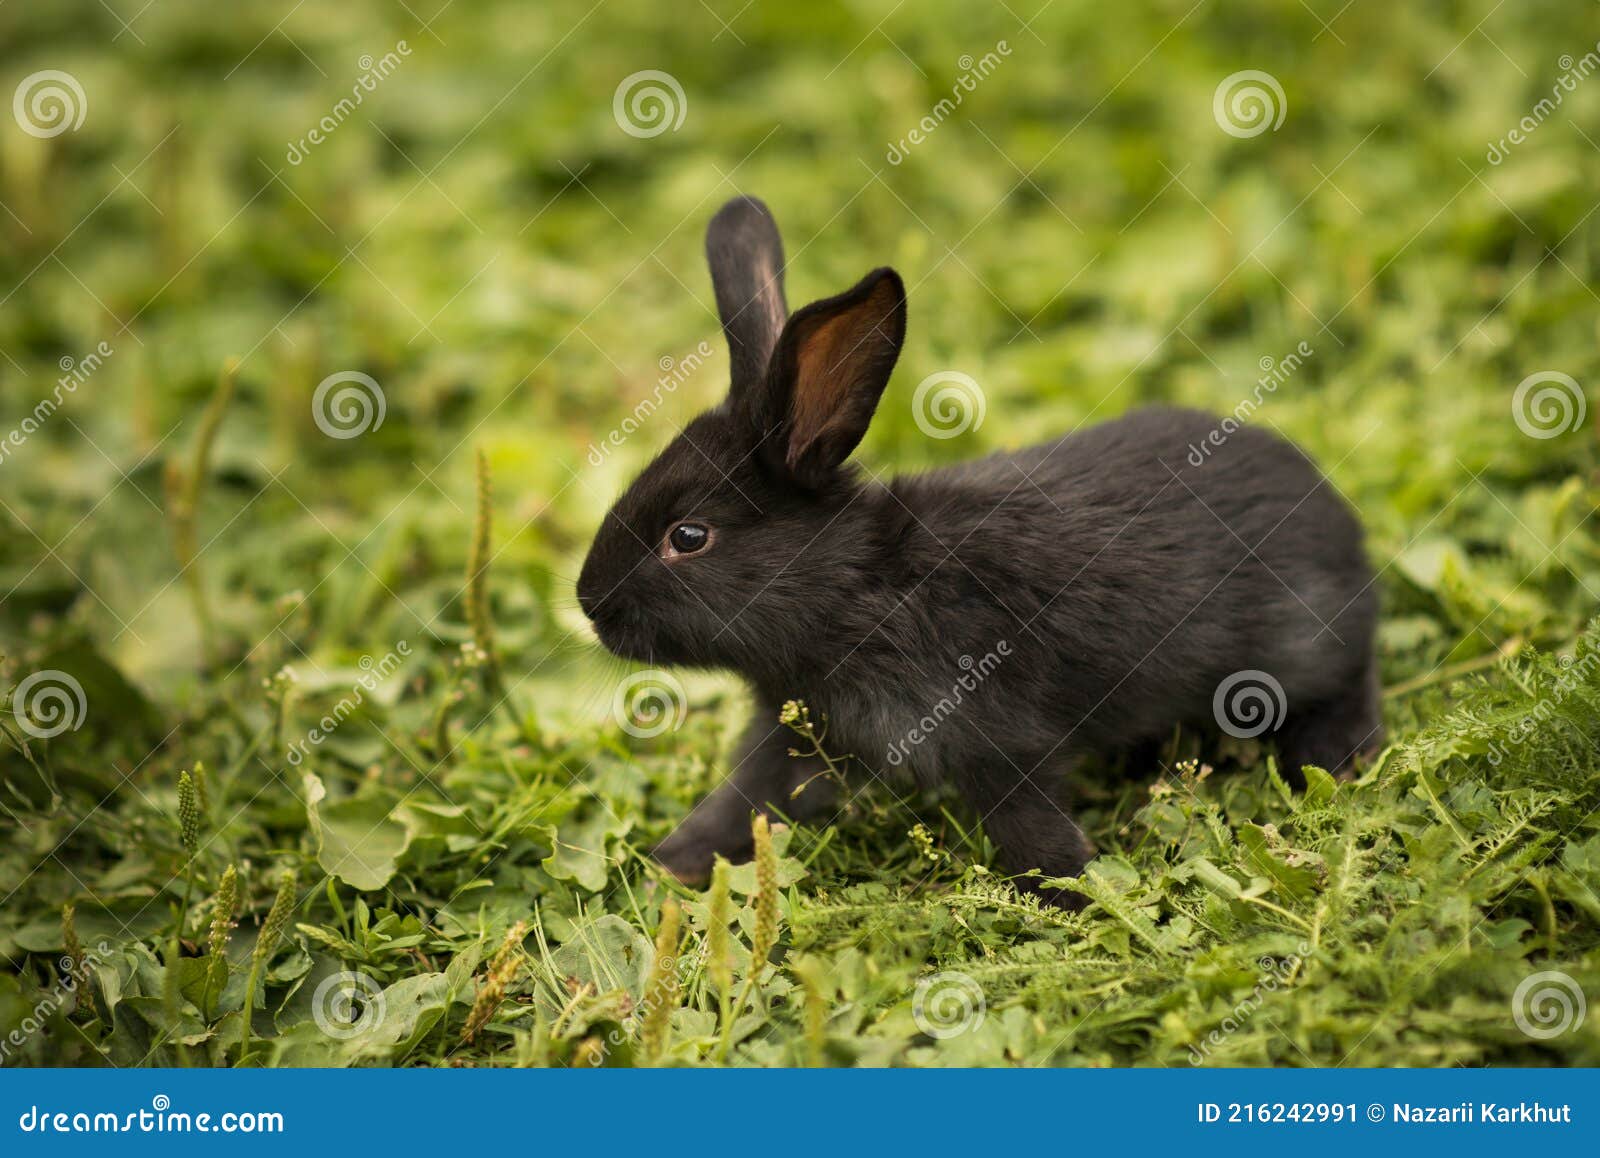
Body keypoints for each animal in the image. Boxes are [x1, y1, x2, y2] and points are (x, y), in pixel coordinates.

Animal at [576, 195, 1381, 907]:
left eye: (688, 537)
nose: (589, 605)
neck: (862, 590)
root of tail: (1335, 516)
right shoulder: (799, 737)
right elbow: (745, 798)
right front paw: (673, 863)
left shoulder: (998, 741)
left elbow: (1026, 823)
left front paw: (1074, 894)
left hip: (1293, 654)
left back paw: (1334, 760)